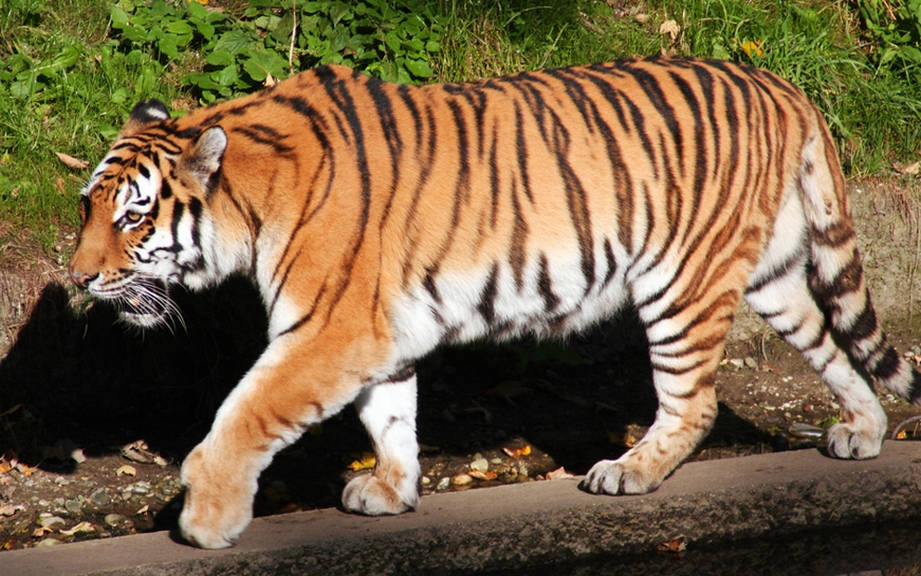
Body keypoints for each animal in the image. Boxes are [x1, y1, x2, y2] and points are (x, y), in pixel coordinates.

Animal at [68, 57, 921, 549]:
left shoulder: (327, 328)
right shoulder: (377, 329)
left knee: (695, 402)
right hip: (771, 274)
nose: (76, 280)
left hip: (680, 279)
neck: (252, 204)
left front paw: (205, 518)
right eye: (87, 208)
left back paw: (628, 472)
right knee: (832, 343)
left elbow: (243, 413)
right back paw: (860, 431)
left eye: (132, 218)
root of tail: (780, 84)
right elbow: (389, 415)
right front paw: (391, 491)